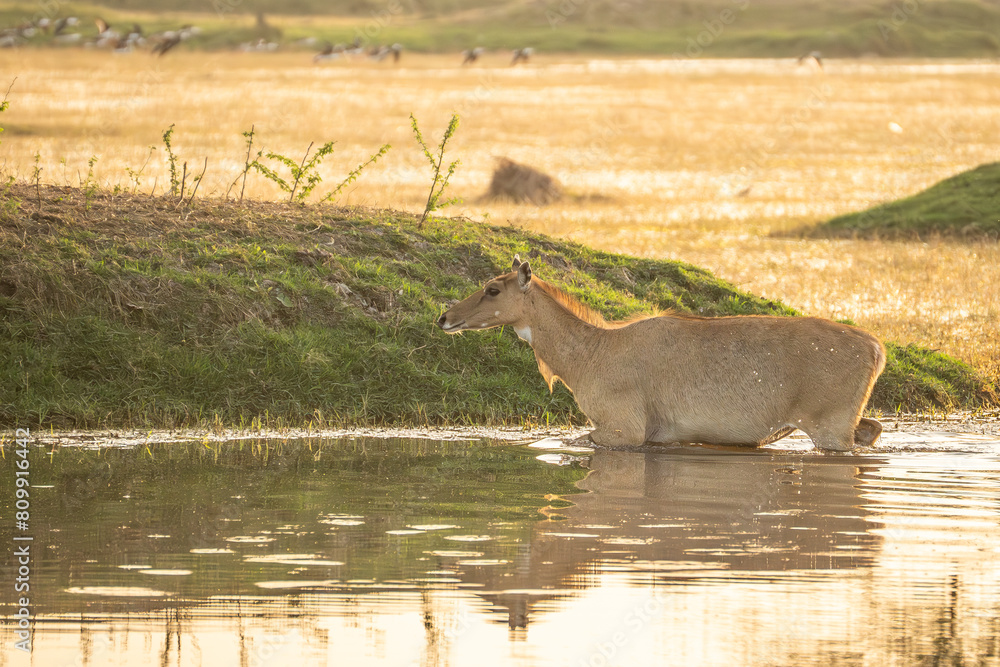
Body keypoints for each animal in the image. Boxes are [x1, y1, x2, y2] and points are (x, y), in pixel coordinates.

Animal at [437, 256, 886, 451]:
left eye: (493, 289)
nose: (445, 317)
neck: (588, 356)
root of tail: (877, 348)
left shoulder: (626, 428)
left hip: (828, 425)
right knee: (874, 428)